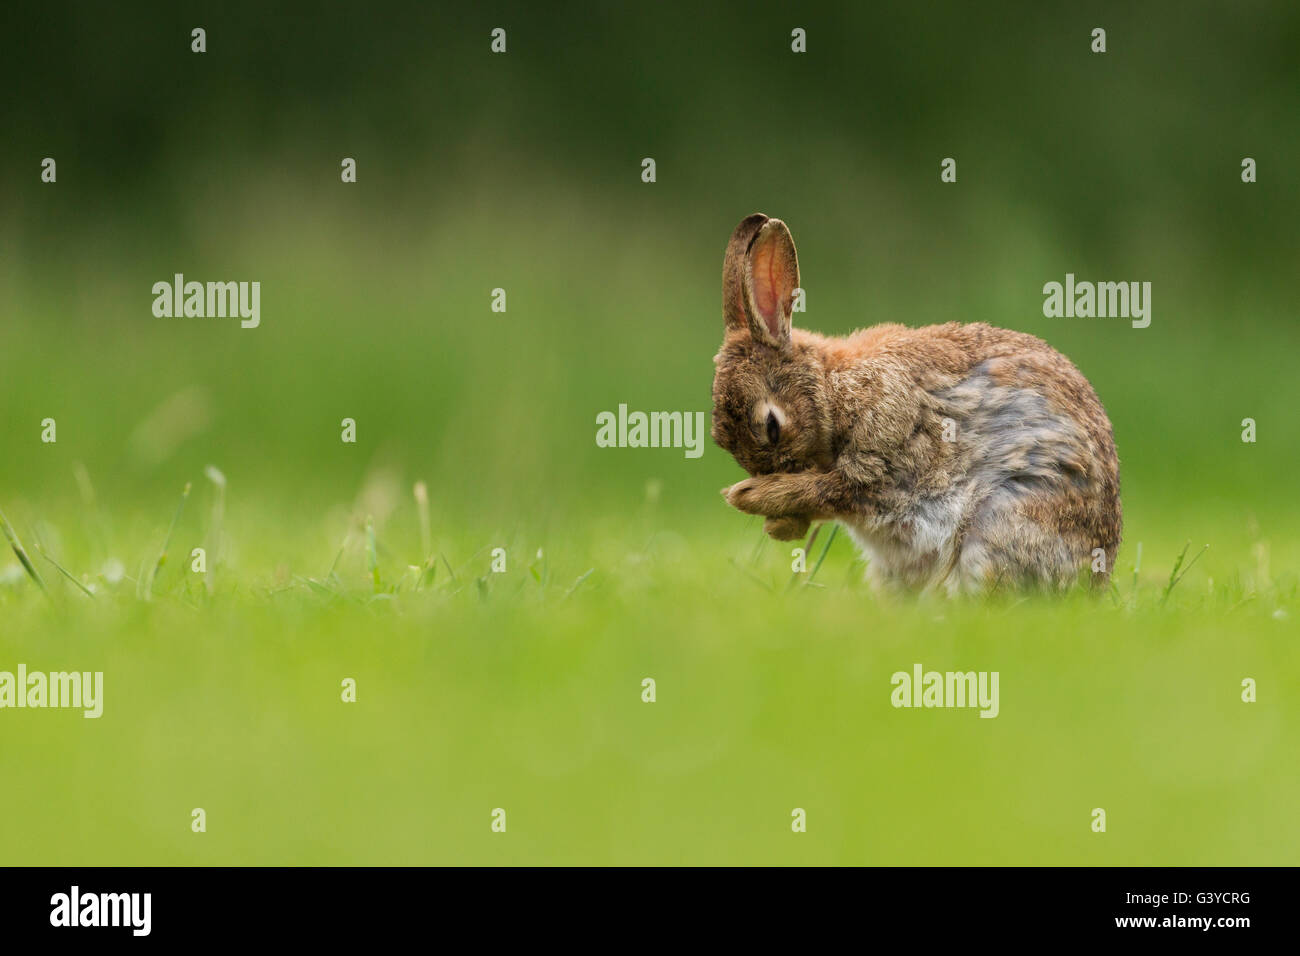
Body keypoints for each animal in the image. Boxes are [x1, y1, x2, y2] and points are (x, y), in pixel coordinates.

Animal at [712, 213, 1122, 595]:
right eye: (720, 441)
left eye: (771, 426)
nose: (783, 526)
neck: (832, 390)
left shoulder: (884, 463)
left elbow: (833, 490)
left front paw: (748, 497)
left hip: (1003, 523)